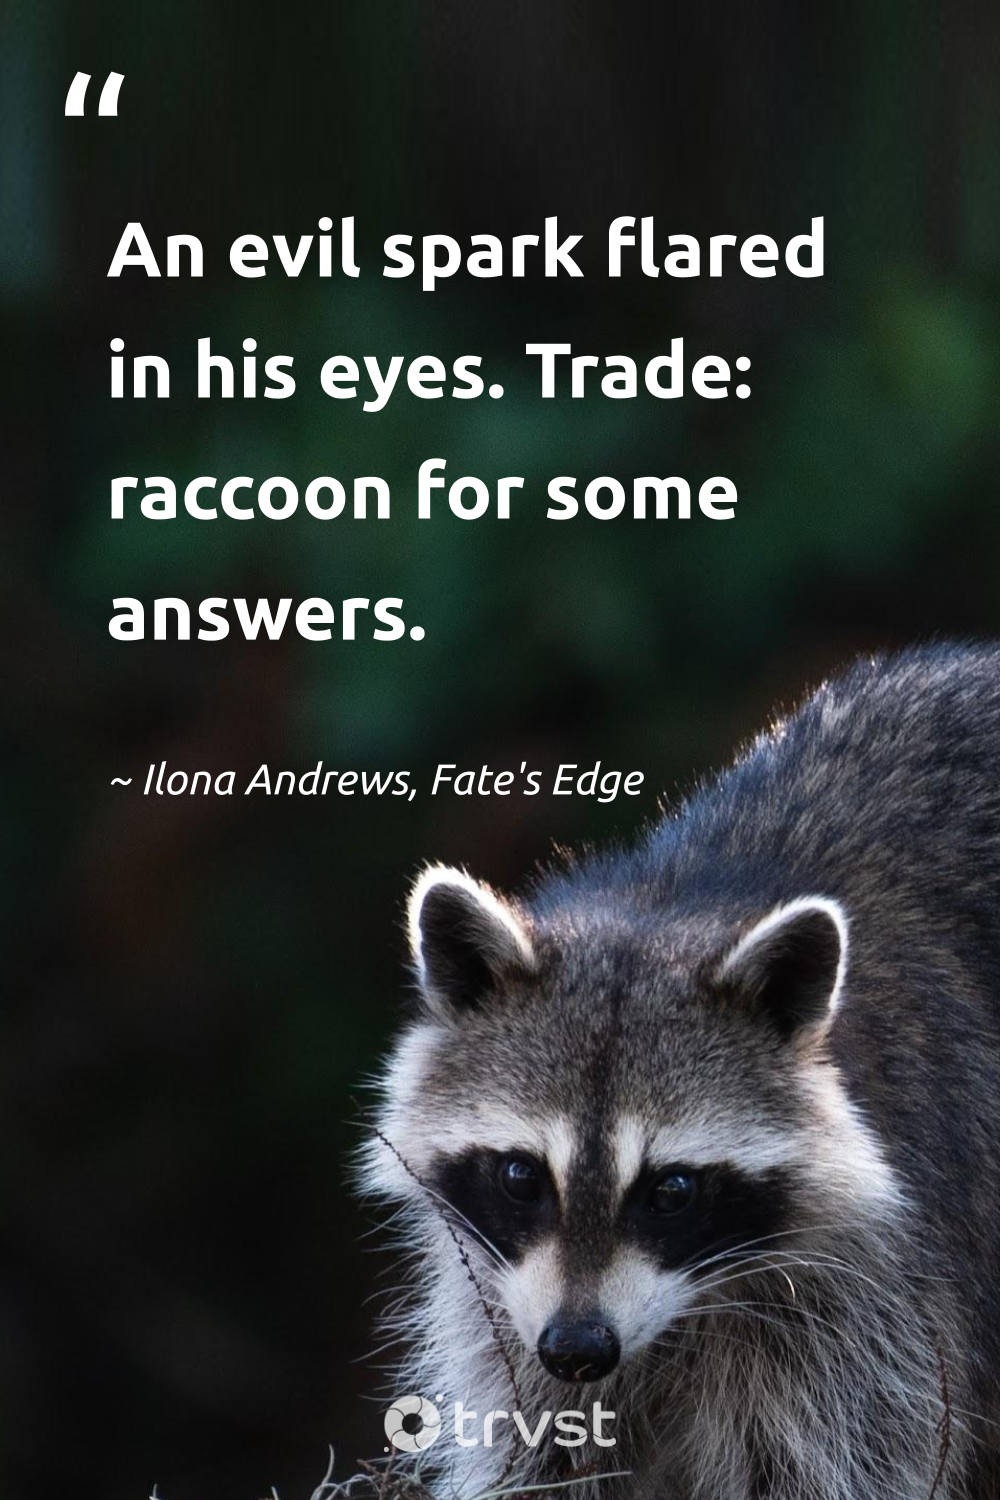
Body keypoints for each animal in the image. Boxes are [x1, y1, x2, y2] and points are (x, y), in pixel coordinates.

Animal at [361, 646, 1000, 1500]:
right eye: (522, 1175)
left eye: (672, 1189)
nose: (577, 1348)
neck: (669, 907)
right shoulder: (494, 1297)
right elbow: (537, 1449)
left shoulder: (878, 1292)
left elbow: (833, 1463)